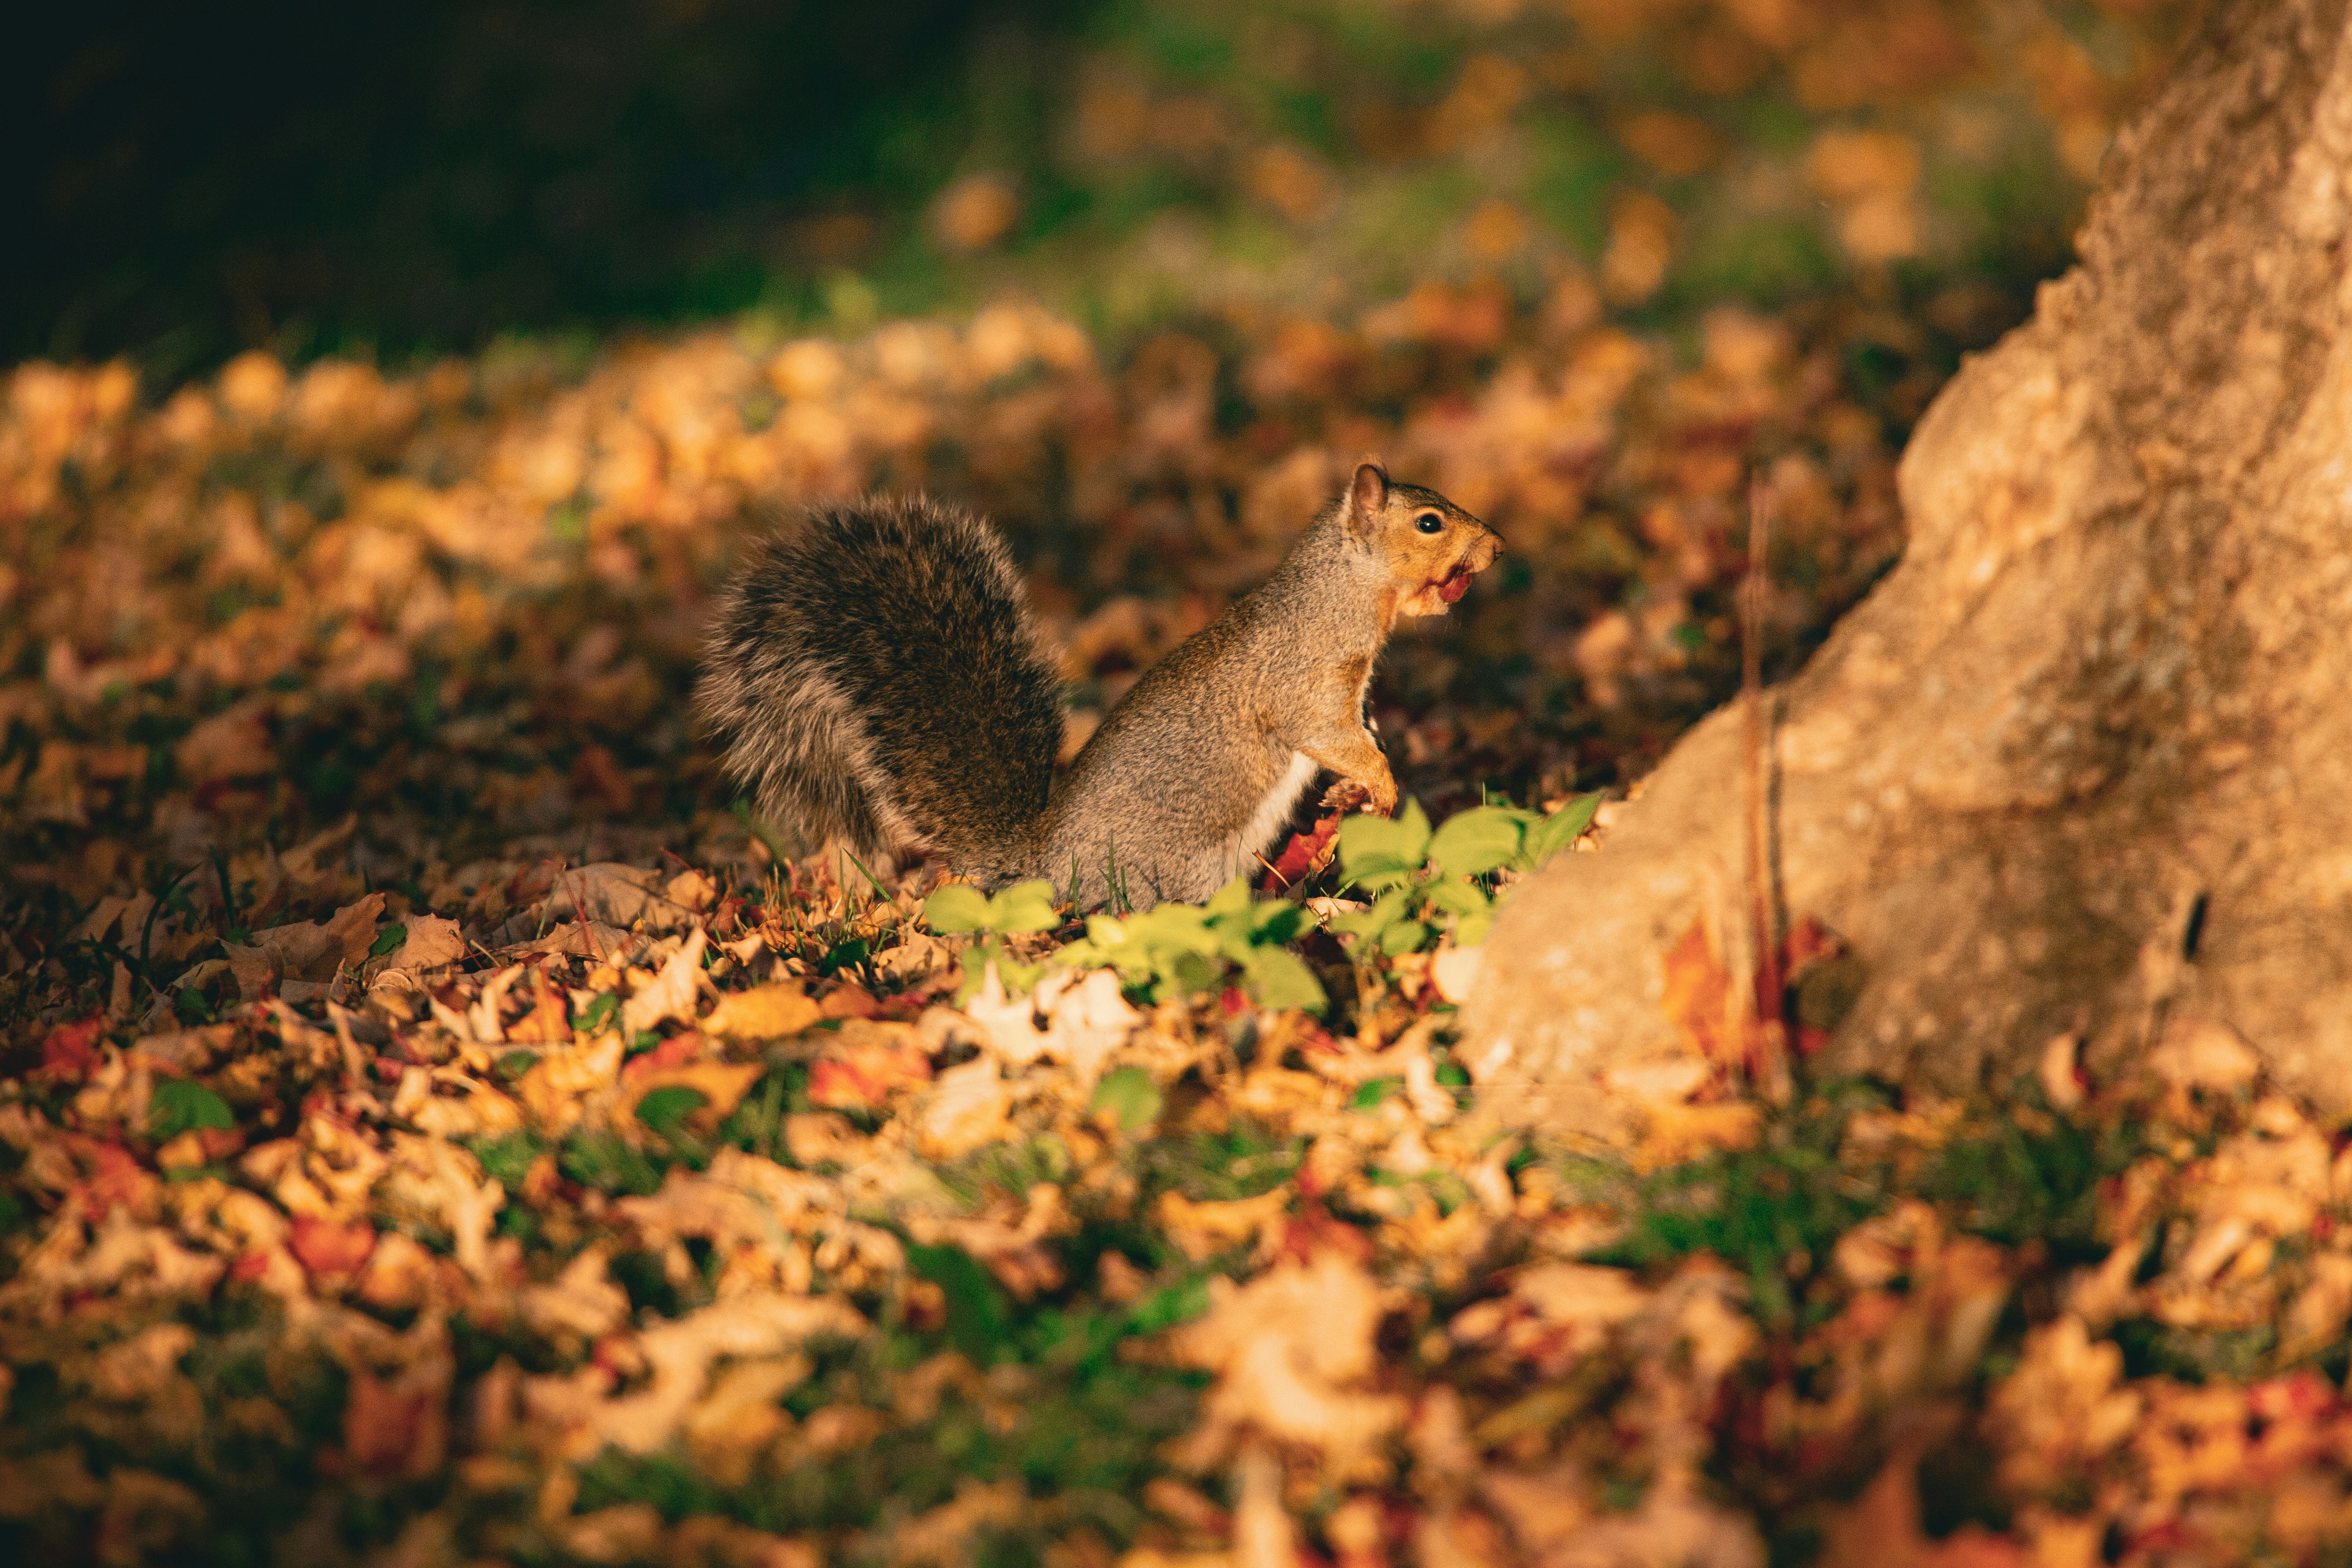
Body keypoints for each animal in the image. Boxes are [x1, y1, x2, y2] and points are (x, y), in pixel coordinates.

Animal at [695, 461, 1502, 910]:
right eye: (1429, 522)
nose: (1496, 546)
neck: (1345, 590)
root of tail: (1040, 865)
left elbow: (1359, 737)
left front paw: (1352, 791)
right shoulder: (1303, 683)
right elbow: (1327, 734)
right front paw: (1380, 781)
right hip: (1172, 874)